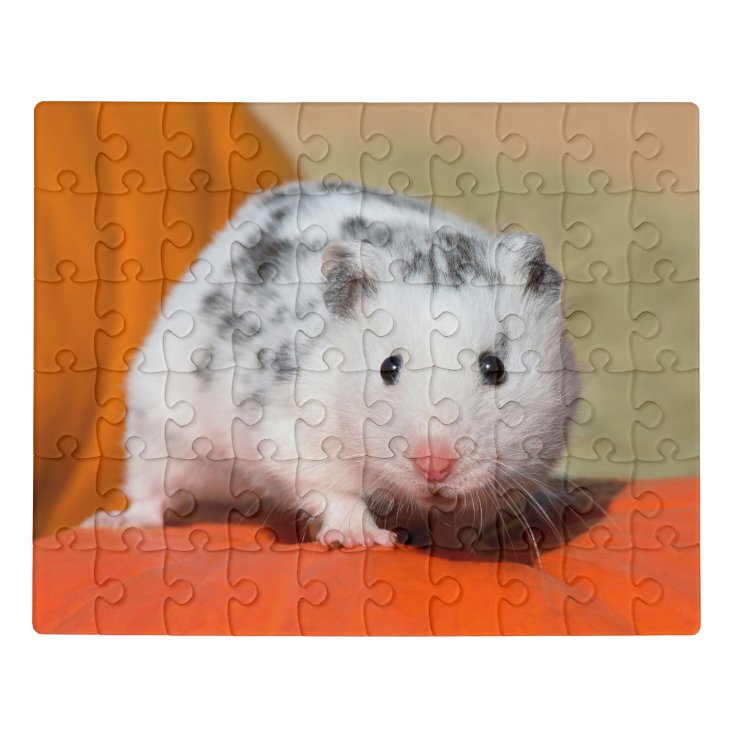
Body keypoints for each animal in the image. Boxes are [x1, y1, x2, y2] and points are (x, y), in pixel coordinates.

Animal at [100, 181, 578, 548]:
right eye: (388, 367)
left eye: (495, 368)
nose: (434, 466)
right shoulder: (291, 431)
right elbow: (334, 490)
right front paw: (363, 539)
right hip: (158, 426)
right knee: (148, 487)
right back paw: (117, 524)